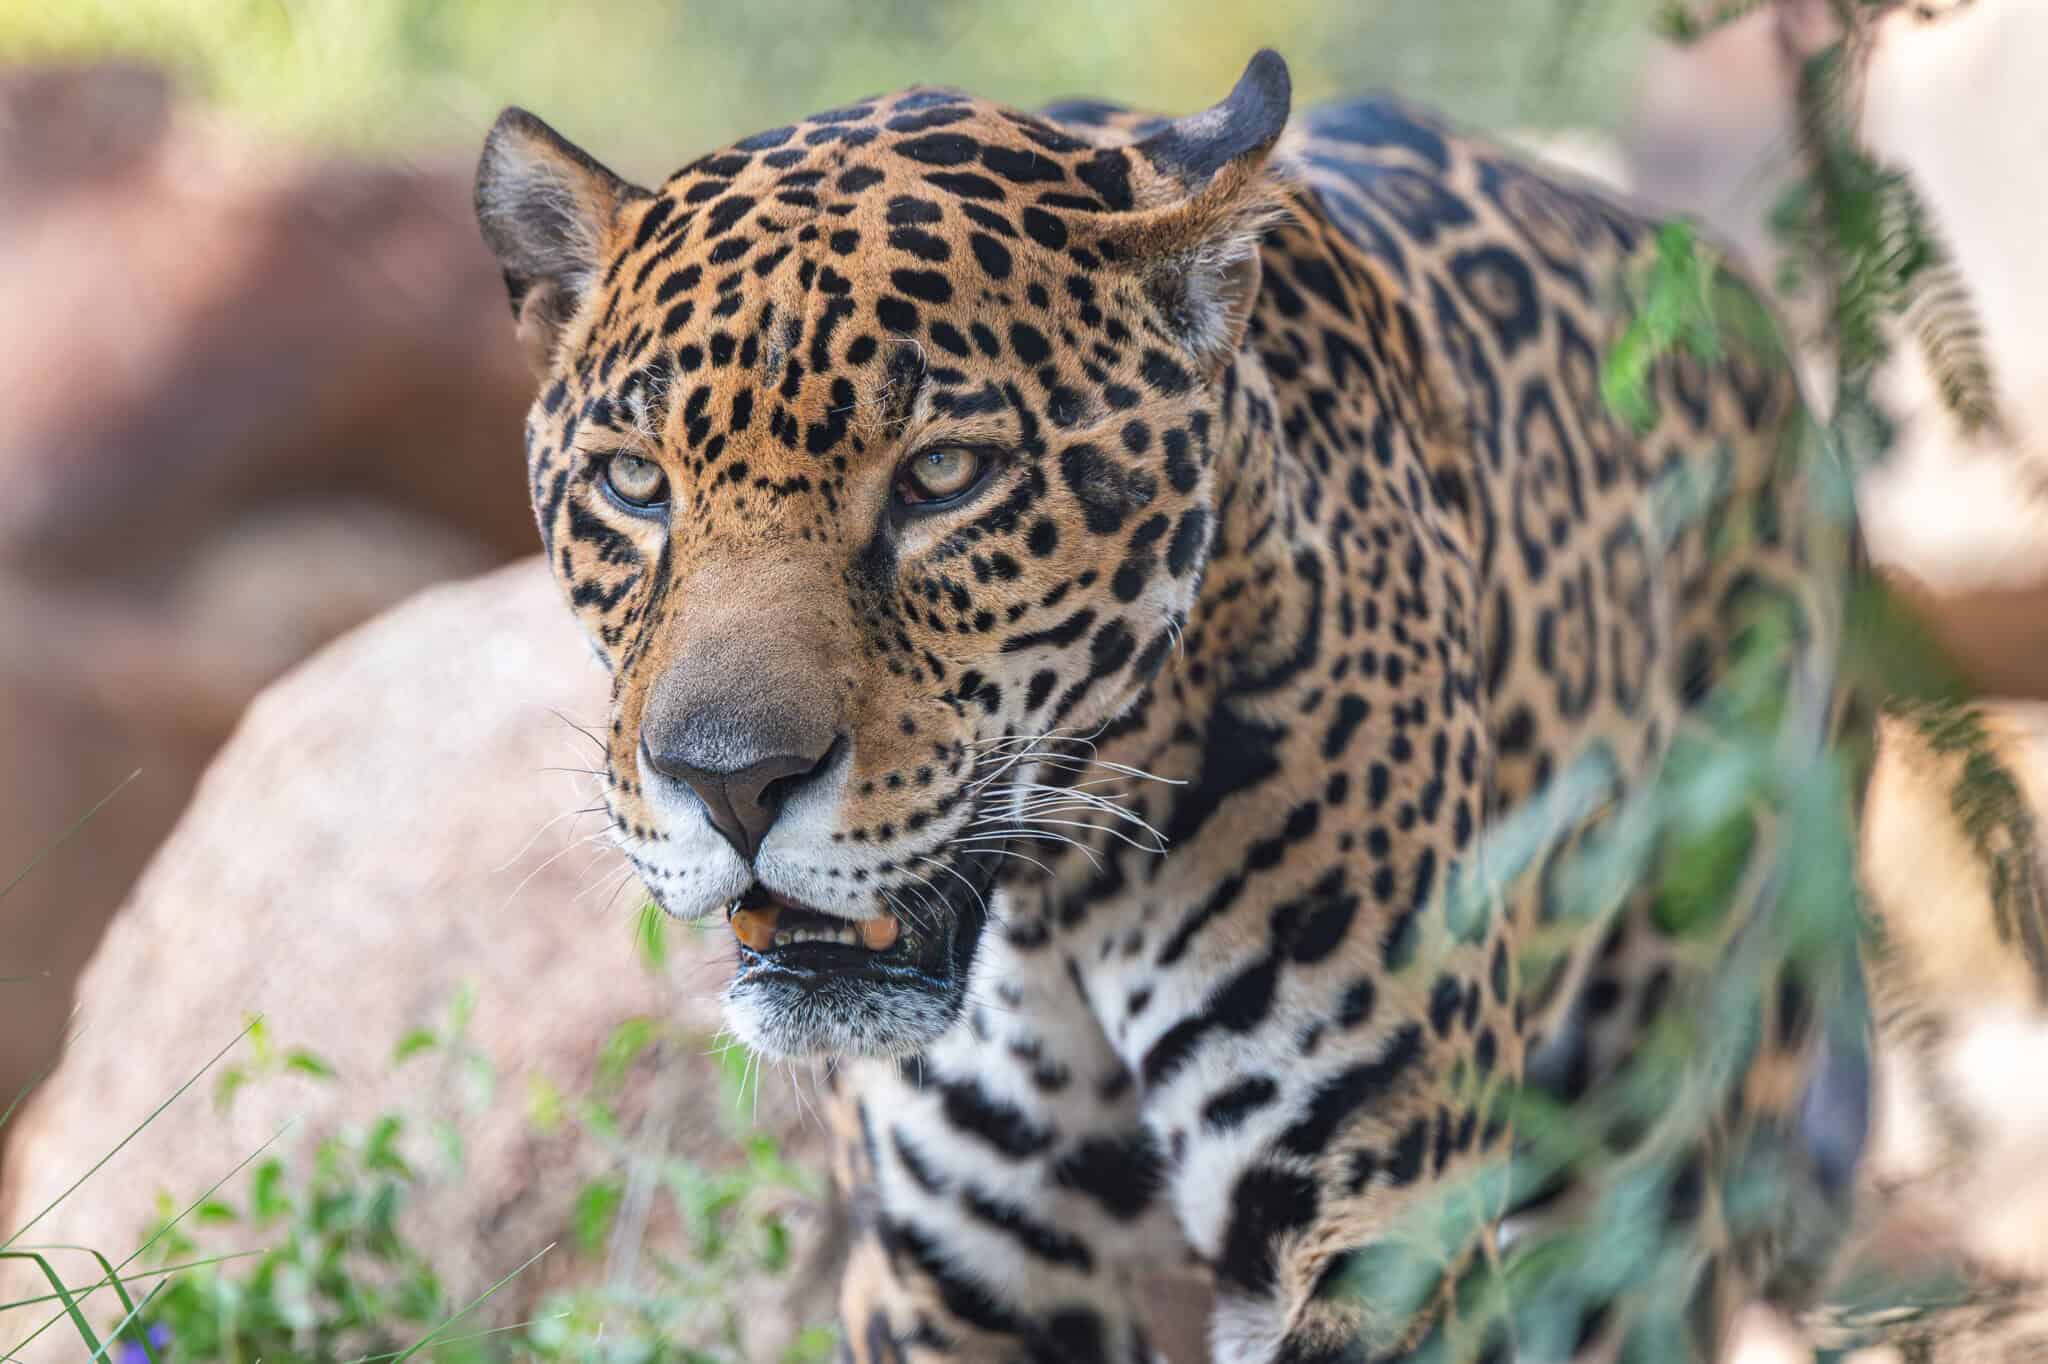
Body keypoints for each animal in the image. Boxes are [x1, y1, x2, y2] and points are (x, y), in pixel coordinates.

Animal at [475, 50, 1872, 1362]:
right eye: (633, 484)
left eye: (942, 473)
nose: (729, 781)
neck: (1054, 899)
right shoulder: (956, 1271)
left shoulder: (1382, 1229)